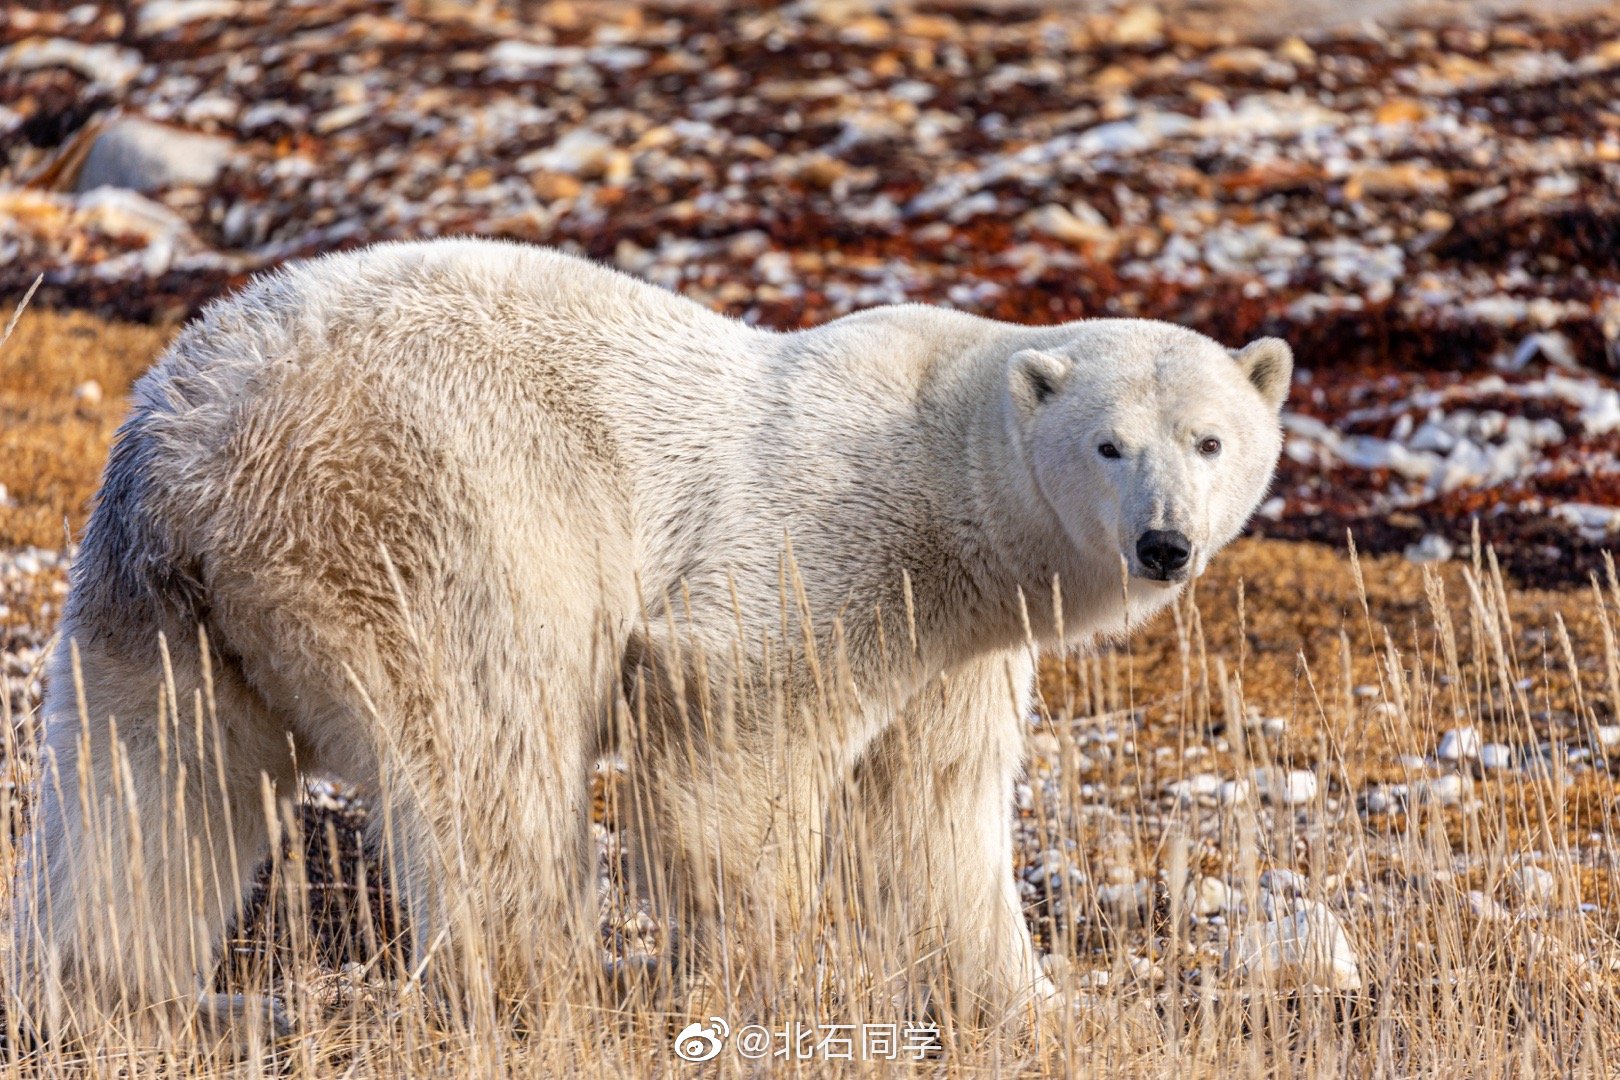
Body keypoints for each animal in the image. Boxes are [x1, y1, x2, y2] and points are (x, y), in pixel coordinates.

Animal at [7, 238, 1290, 1039]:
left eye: (1212, 439)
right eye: (1109, 444)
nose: (1165, 544)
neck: (945, 475)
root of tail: (197, 448)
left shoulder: (956, 642)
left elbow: (929, 815)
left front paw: (1044, 1005)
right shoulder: (831, 544)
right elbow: (741, 731)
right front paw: (756, 976)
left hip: (151, 594)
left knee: (151, 787)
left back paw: (131, 998)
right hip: (432, 509)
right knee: (493, 753)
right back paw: (544, 991)